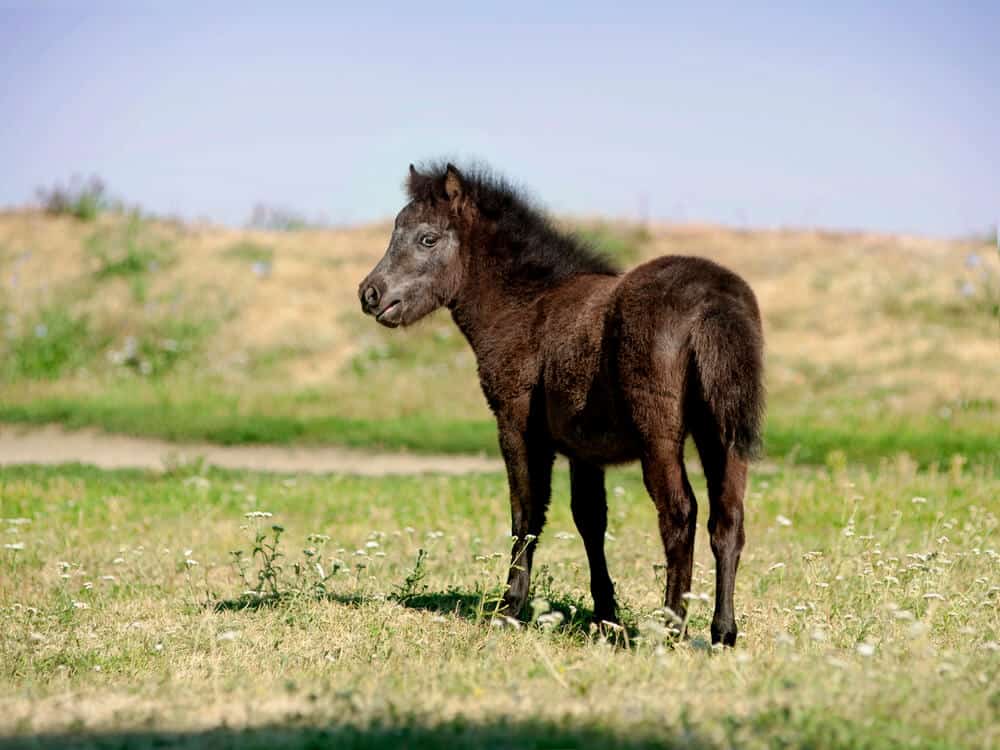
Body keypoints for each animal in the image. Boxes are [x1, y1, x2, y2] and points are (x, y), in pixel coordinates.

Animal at [359, 162, 764, 646]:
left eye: (427, 238)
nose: (370, 294)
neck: (528, 305)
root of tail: (713, 300)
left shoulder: (517, 427)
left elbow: (527, 512)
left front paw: (509, 608)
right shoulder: (584, 449)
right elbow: (590, 519)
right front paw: (606, 616)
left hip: (660, 435)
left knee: (680, 514)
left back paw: (669, 627)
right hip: (722, 434)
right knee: (728, 520)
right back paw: (723, 631)